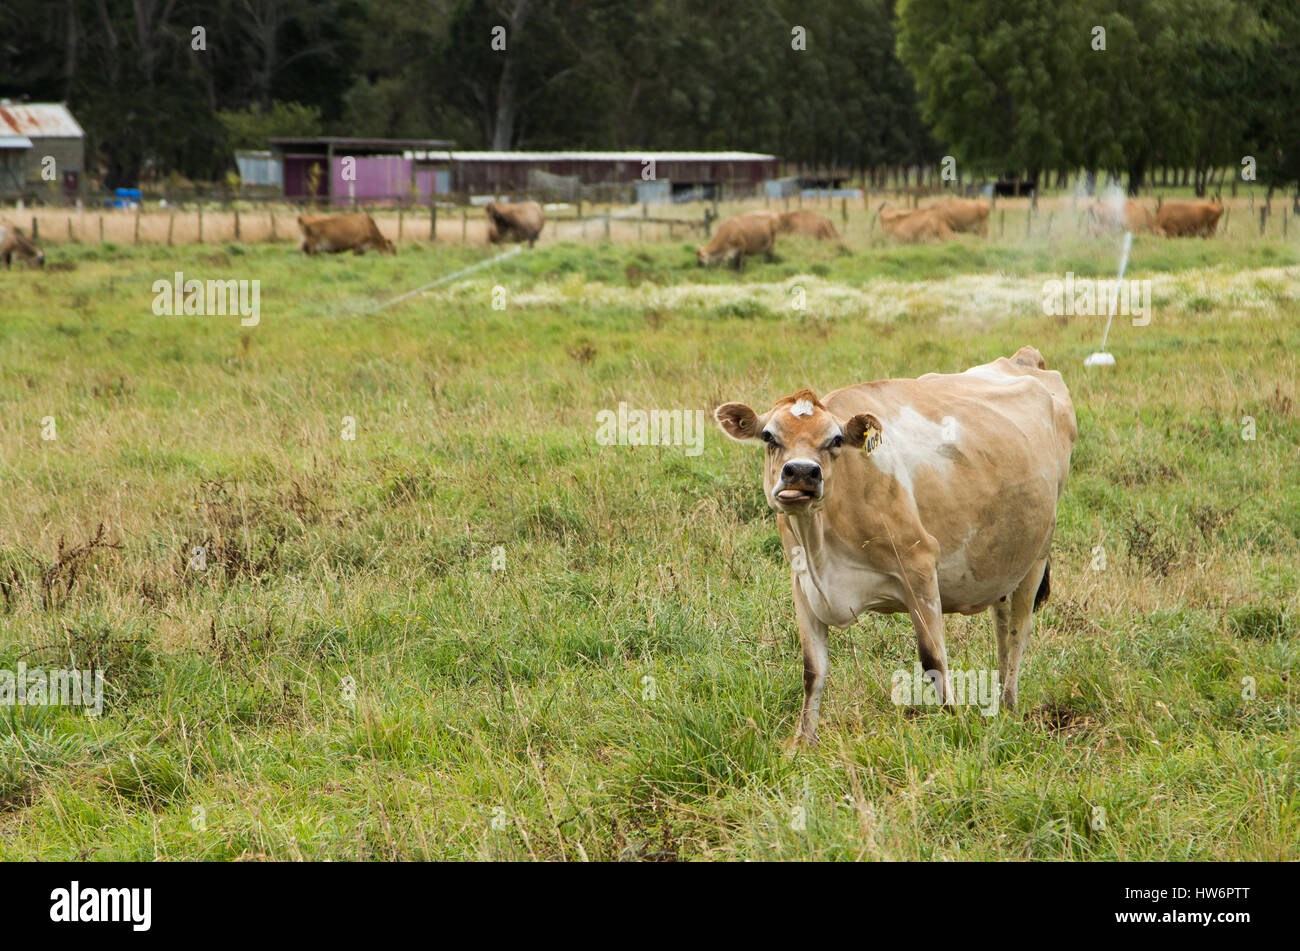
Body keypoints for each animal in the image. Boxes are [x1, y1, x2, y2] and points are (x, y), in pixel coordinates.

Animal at [715, 345, 1076, 744]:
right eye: (768, 436)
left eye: (835, 440)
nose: (802, 472)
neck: (821, 547)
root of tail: (1022, 358)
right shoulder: (803, 583)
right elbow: (813, 670)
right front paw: (802, 742)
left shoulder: (920, 567)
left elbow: (934, 660)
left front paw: (955, 726)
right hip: (1002, 556)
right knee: (1001, 623)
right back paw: (998, 702)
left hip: (1037, 553)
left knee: (1017, 631)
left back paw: (1010, 706)